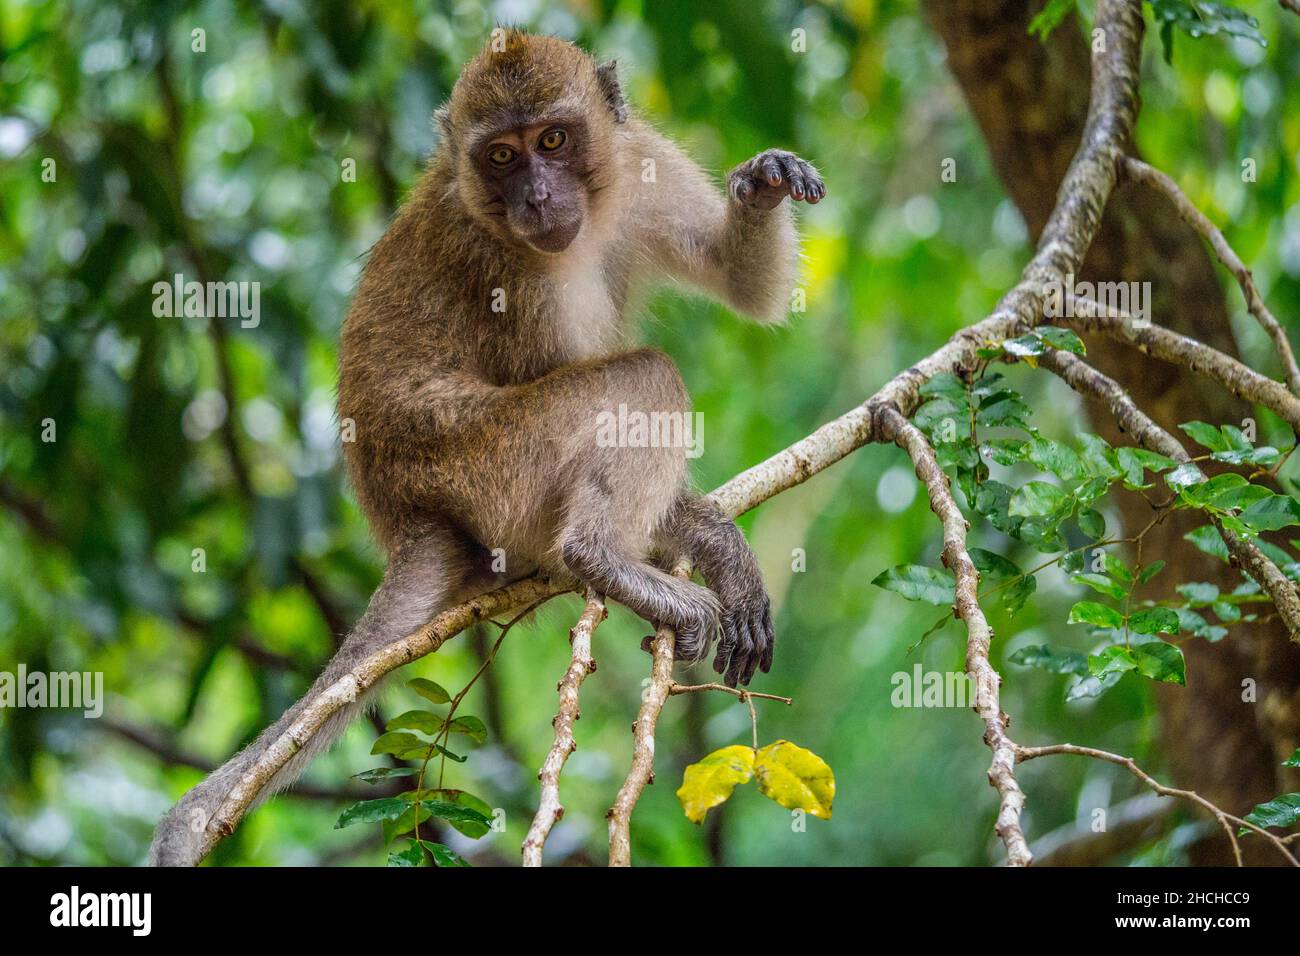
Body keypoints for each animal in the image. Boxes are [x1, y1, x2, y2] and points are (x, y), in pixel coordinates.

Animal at [149, 30, 824, 866]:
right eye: (501, 156)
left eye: (554, 141)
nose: (535, 198)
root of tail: (412, 514)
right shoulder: (500, 265)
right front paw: (695, 531)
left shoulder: (641, 158)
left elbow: (739, 284)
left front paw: (765, 183)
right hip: (487, 466)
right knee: (643, 378)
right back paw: (600, 557)